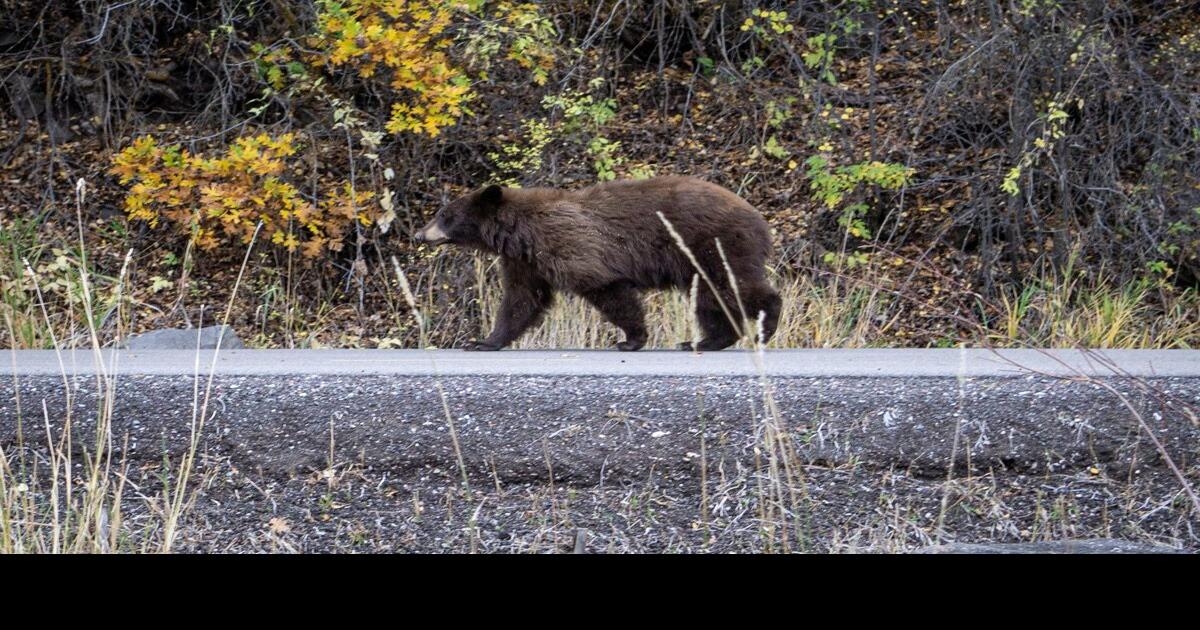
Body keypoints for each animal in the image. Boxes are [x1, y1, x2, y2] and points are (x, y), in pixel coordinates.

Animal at [414, 176, 781, 351]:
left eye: (444, 215)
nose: (420, 233)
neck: (519, 232)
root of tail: (760, 220)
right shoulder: (525, 261)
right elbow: (521, 300)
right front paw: (485, 341)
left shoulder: (568, 245)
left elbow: (604, 287)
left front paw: (631, 339)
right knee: (710, 300)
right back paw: (703, 341)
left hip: (711, 245)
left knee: (728, 287)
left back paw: (765, 325)